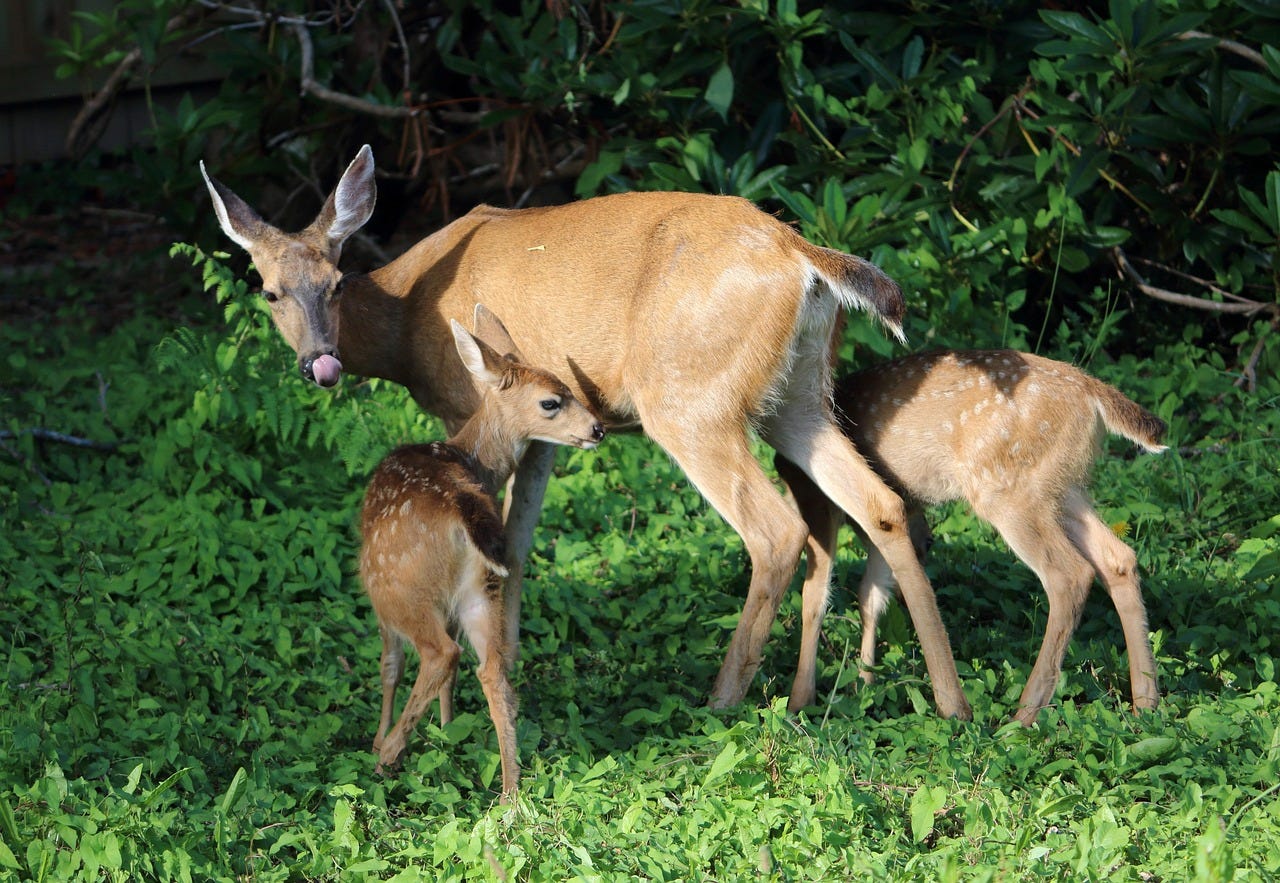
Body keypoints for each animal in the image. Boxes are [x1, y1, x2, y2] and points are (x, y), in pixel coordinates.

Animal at [200, 144, 974, 721]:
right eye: (269, 291)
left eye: (334, 284)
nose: (321, 363)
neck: (403, 318)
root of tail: (802, 255)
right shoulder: (544, 423)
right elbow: (516, 541)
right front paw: (510, 668)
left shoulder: (467, 405)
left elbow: (486, 542)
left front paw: (466, 698)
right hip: (798, 396)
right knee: (883, 505)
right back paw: (946, 701)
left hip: (689, 399)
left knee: (778, 529)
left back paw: (723, 698)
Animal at [362, 306, 605, 795]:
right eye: (553, 400)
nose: (598, 428)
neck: (467, 461)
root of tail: (461, 507)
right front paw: (447, 729)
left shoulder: (384, 605)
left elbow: (389, 664)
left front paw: (382, 736)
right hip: (483, 588)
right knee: (492, 672)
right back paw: (511, 793)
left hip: (399, 588)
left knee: (441, 655)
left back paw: (387, 756)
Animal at [775, 349, 1166, 724]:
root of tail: (1091, 392)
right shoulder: (900, 515)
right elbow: (872, 592)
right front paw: (864, 683)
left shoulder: (817, 500)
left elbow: (815, 595)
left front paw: (802, 701)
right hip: (1062, 489)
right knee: (1118, 558)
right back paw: (1146, 703)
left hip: (1007, 489)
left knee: (1070, 574)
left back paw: (1023, 715)